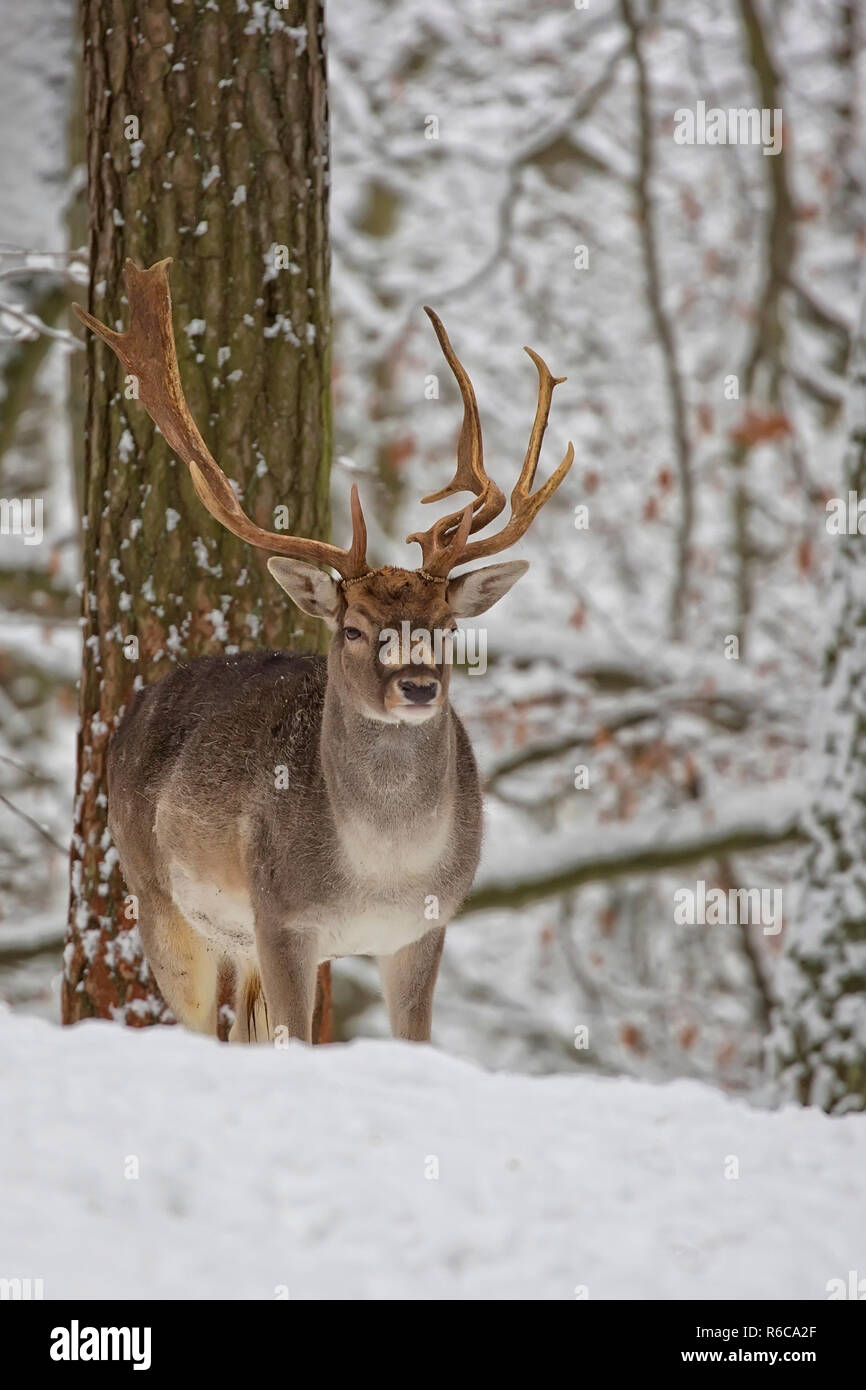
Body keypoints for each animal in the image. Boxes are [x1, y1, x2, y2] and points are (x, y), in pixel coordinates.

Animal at [73, 259, 573, 1045]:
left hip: (235, 939)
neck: (383, 871)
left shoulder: (425, 926)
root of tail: (133, 708)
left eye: (445, 625)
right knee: (196, 1022)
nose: (419, 687)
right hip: (160, 899)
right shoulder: (282, 915)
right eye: (355, 627)